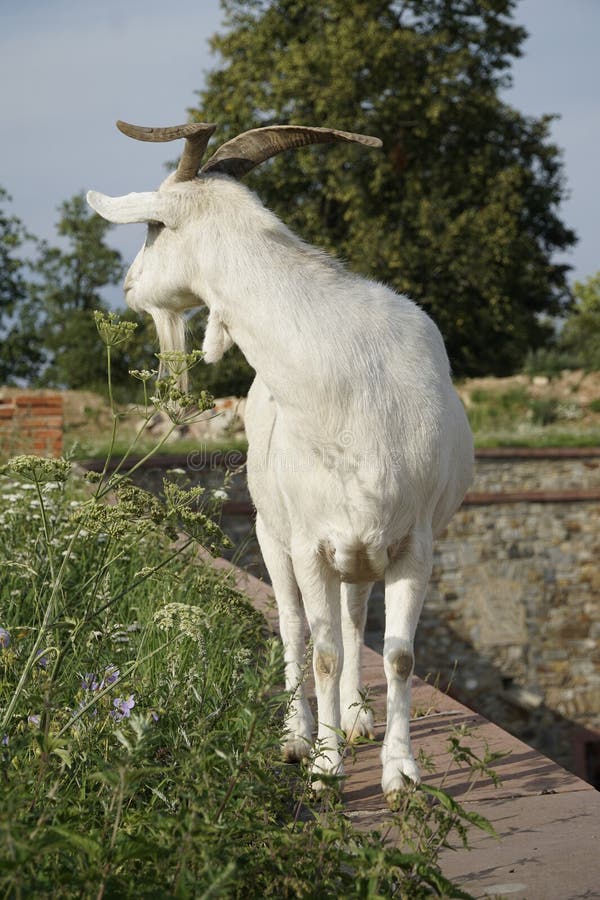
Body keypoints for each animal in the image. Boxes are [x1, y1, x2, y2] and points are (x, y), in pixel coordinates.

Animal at [88, 120, 474, 800]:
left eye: (155, 226)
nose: (130, 287)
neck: (349, 387)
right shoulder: (309, 543)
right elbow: (322, 650)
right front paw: (323, 767)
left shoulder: (414, 543)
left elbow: (397, 654)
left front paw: (399, 774)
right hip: (274, 532)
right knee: (297, 627)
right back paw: (299, 734)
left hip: (359, 549)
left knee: (354, 621)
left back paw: (356, 718)